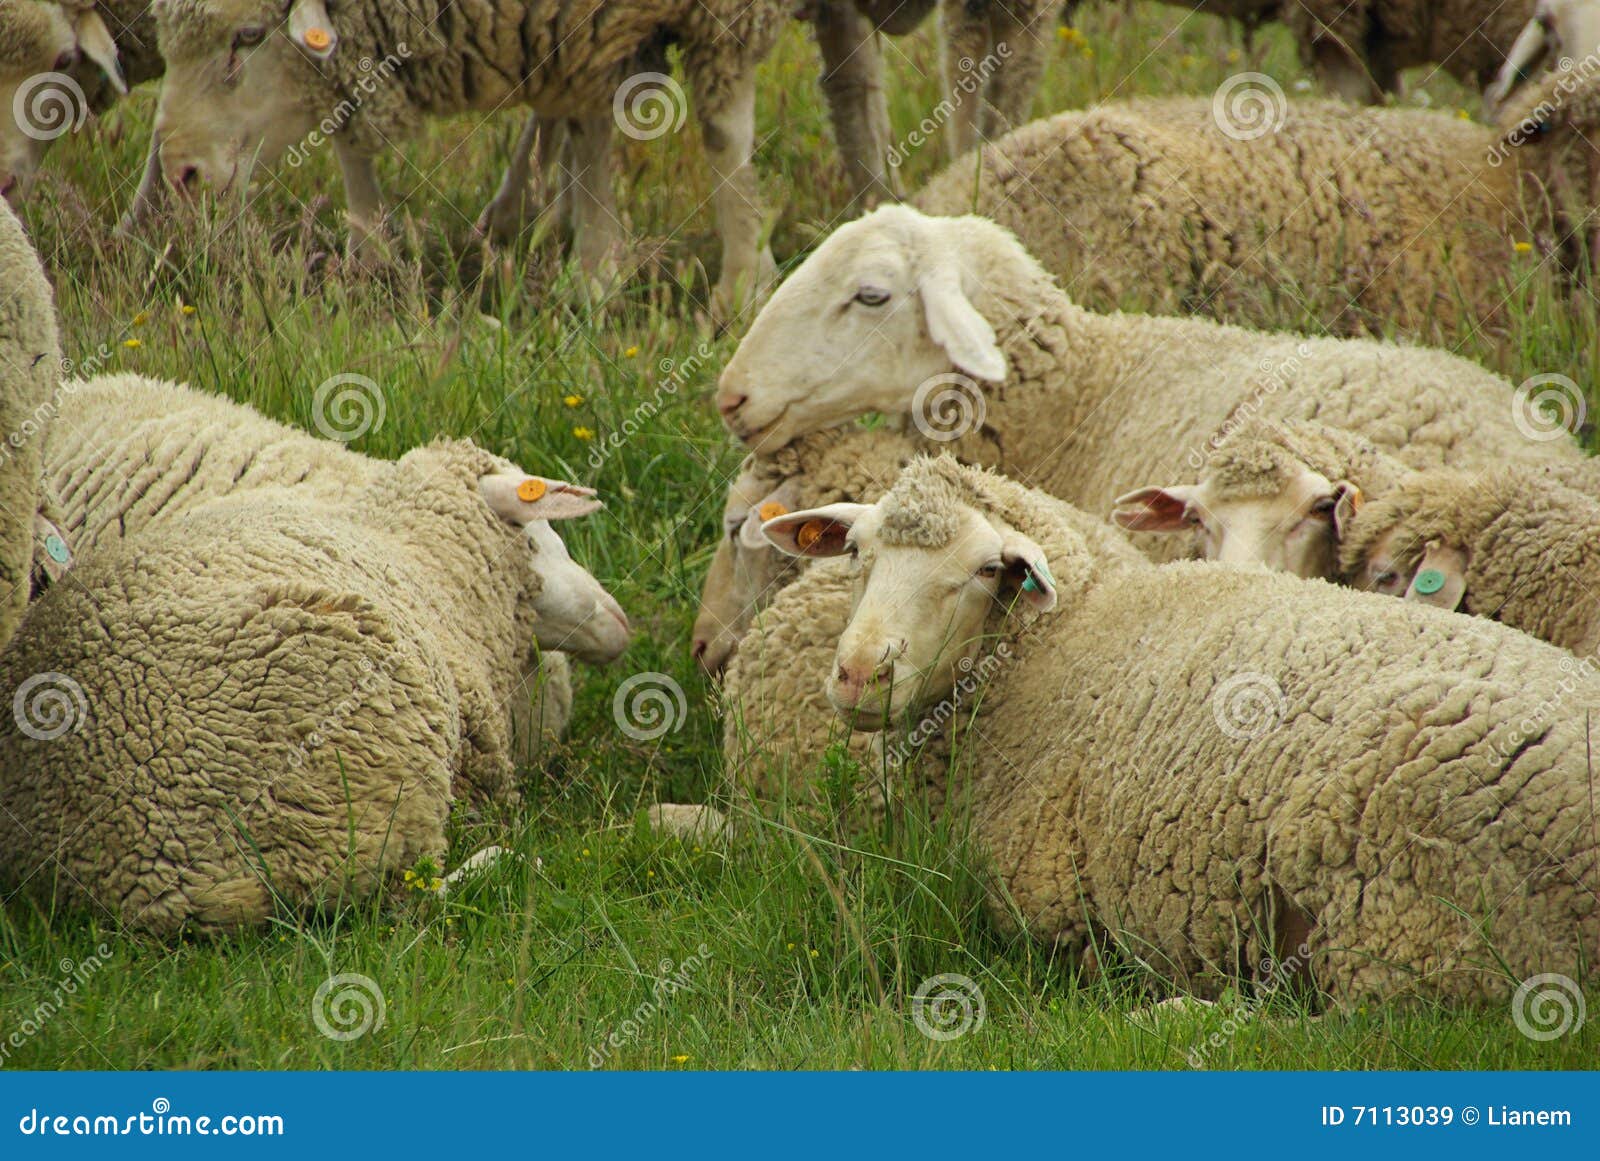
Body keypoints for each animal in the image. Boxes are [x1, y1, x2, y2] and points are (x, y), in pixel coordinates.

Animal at [0, 437, 629, 932]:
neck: (419, 553)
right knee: (406, 899)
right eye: (540, 533)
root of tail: (159, 885)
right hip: (360, 781)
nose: (621, 623)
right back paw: (509, 862)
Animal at [150, 0, 787, 320]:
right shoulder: (578, 28)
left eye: (249, 35)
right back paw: (517, 217)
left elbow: (721, 133)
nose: (180, 175)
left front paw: (743, 289)